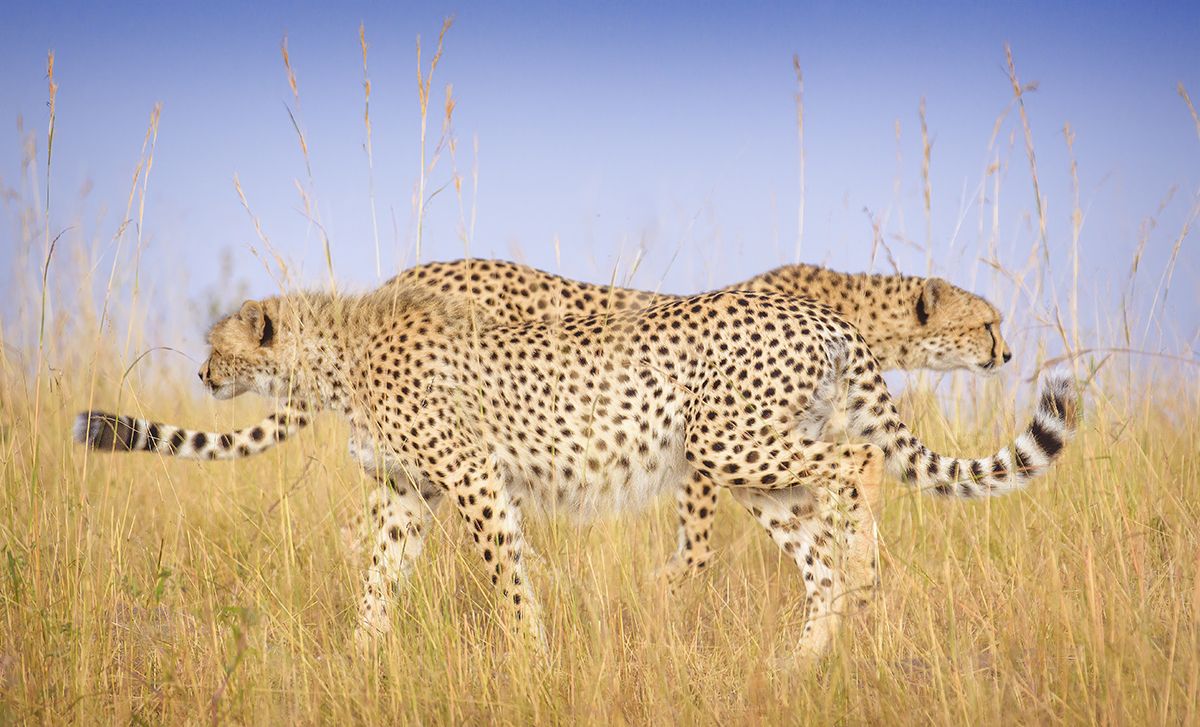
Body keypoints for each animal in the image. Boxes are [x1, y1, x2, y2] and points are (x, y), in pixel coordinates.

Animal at [76, 280, 1076, 657]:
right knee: (821, 551)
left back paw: (855, 590)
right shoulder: (408, 493)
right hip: (754, 470)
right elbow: (379, 575)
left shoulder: (472, 480)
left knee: (857, 463)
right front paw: (359, 656)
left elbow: (507, 575)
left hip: (732, 444)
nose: (203, 373)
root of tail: (816, 311)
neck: (338, 350)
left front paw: (532, 655)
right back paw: (803, 660)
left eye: (217, 345)